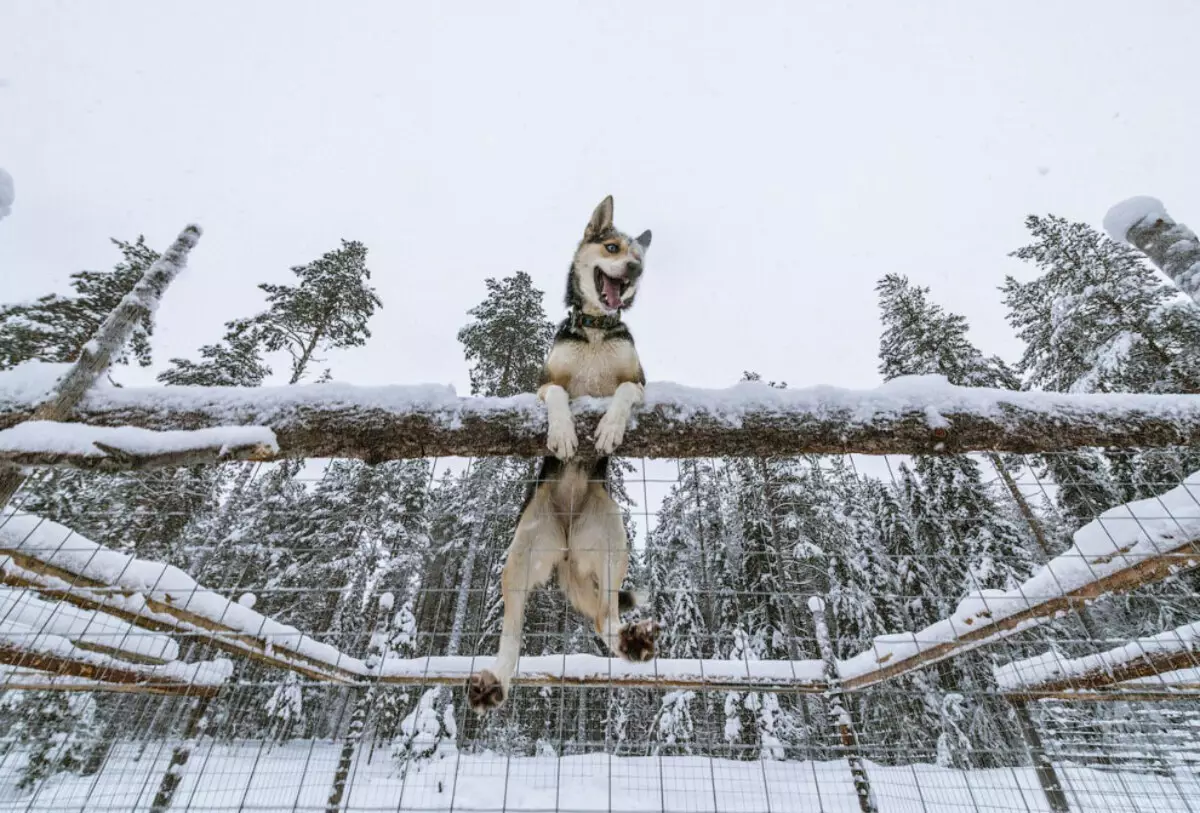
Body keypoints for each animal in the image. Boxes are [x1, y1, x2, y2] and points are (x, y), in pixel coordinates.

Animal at [465, 195, 657, 714]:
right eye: (612, 247)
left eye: (640, 256)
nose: (634, 269)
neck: (595, 332)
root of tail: (568, 542)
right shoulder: (544, 385)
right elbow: (556, 399)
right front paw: (566, 435)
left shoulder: (641, 384)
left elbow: (623, 391)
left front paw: (608, 429)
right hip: (520, 559)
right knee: (512, 636)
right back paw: (497, 680)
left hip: (611, 546)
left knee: (605, 617)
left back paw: (629, 641)